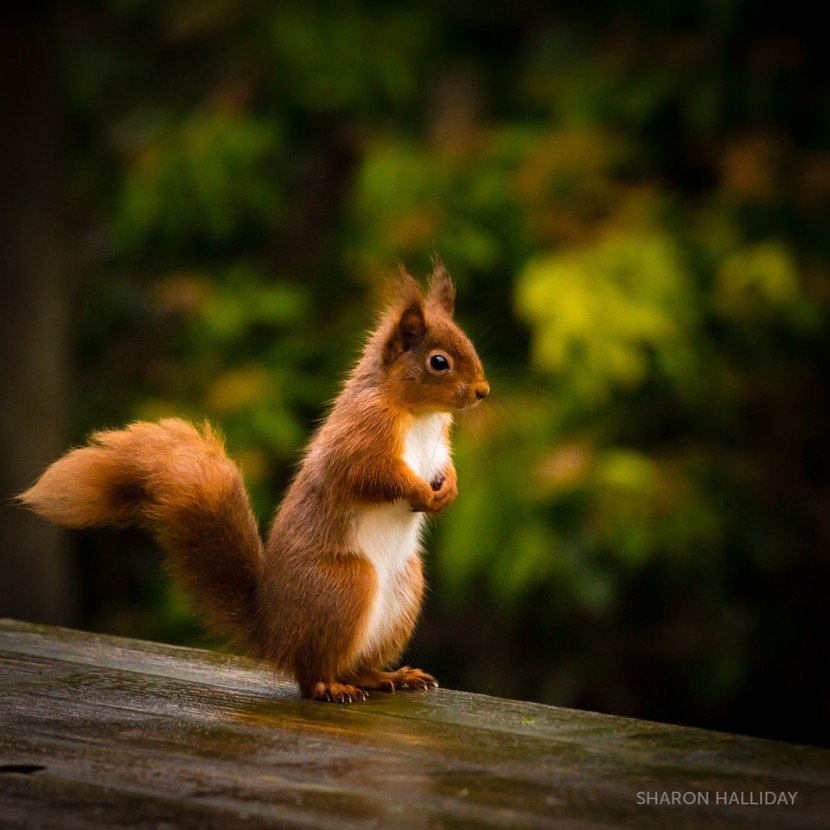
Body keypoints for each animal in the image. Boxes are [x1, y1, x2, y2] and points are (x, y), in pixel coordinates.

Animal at [20, 263, 489, 703]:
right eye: (439, 362)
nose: (483, 391)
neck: (419, 415)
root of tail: (275, 632)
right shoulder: (360, 437)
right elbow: (364, 474)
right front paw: (418, 491)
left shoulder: (437, 449)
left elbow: (445, 468)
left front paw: (448, 489)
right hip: (345, 586)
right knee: (312, 673)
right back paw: (329, 685)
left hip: (405, 589)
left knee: (358, 666)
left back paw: (389, 676)